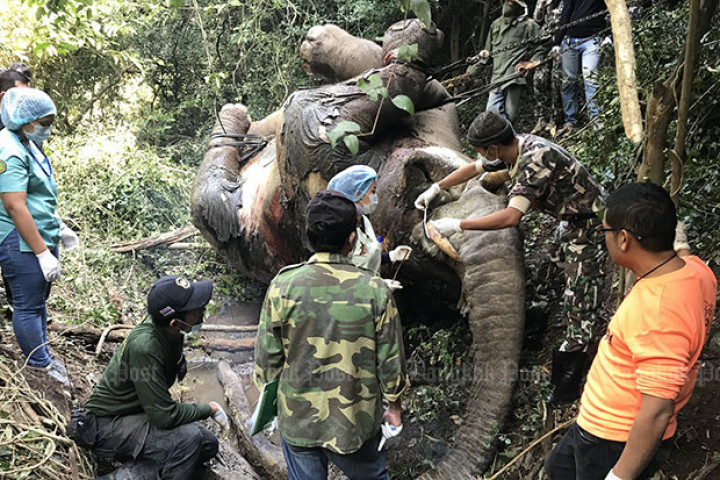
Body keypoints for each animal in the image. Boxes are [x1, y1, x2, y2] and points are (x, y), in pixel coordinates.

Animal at [191, 20, 525, 479]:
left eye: (437, 264)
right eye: (438, 239)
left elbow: (418, 90)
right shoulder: (318, 150)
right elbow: (324, 107)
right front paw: (405, 45)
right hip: (223, 217)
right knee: (214, 191)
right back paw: (242, 108)